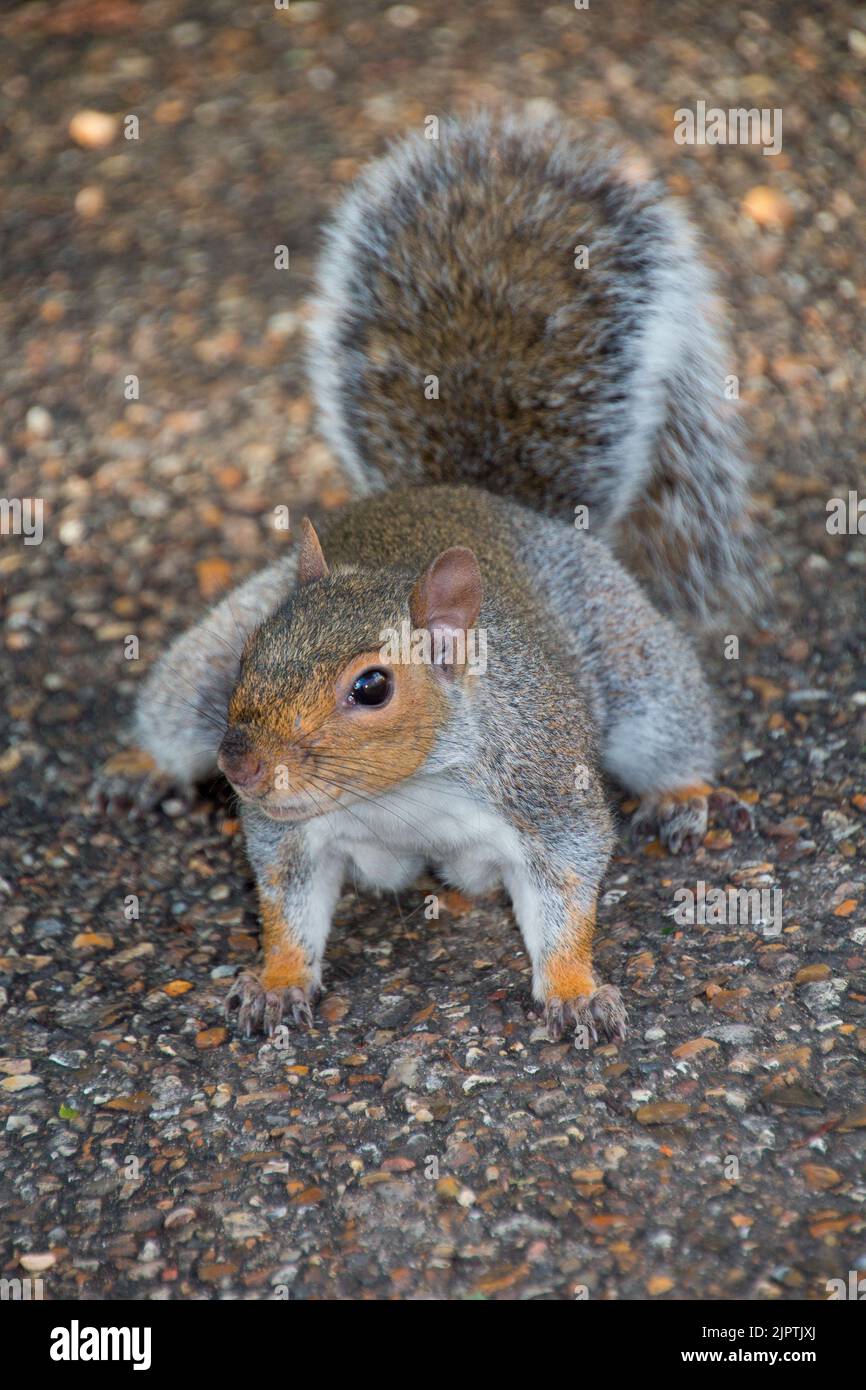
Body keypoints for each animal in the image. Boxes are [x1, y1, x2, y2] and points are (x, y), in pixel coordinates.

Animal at [92, 115, 758, 1045]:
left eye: (372, 688)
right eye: (256, 650)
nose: (242, 766)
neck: (402, 792)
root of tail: (470, 493)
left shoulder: (546, 794)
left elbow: (569, 890)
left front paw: (576, 991)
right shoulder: (291, 830)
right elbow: (286, 904)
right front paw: (277, 983)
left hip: (632, 659)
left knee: (668, 728)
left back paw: (688, 793)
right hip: (195, 680)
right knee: (171, 716)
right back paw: (140, 767)